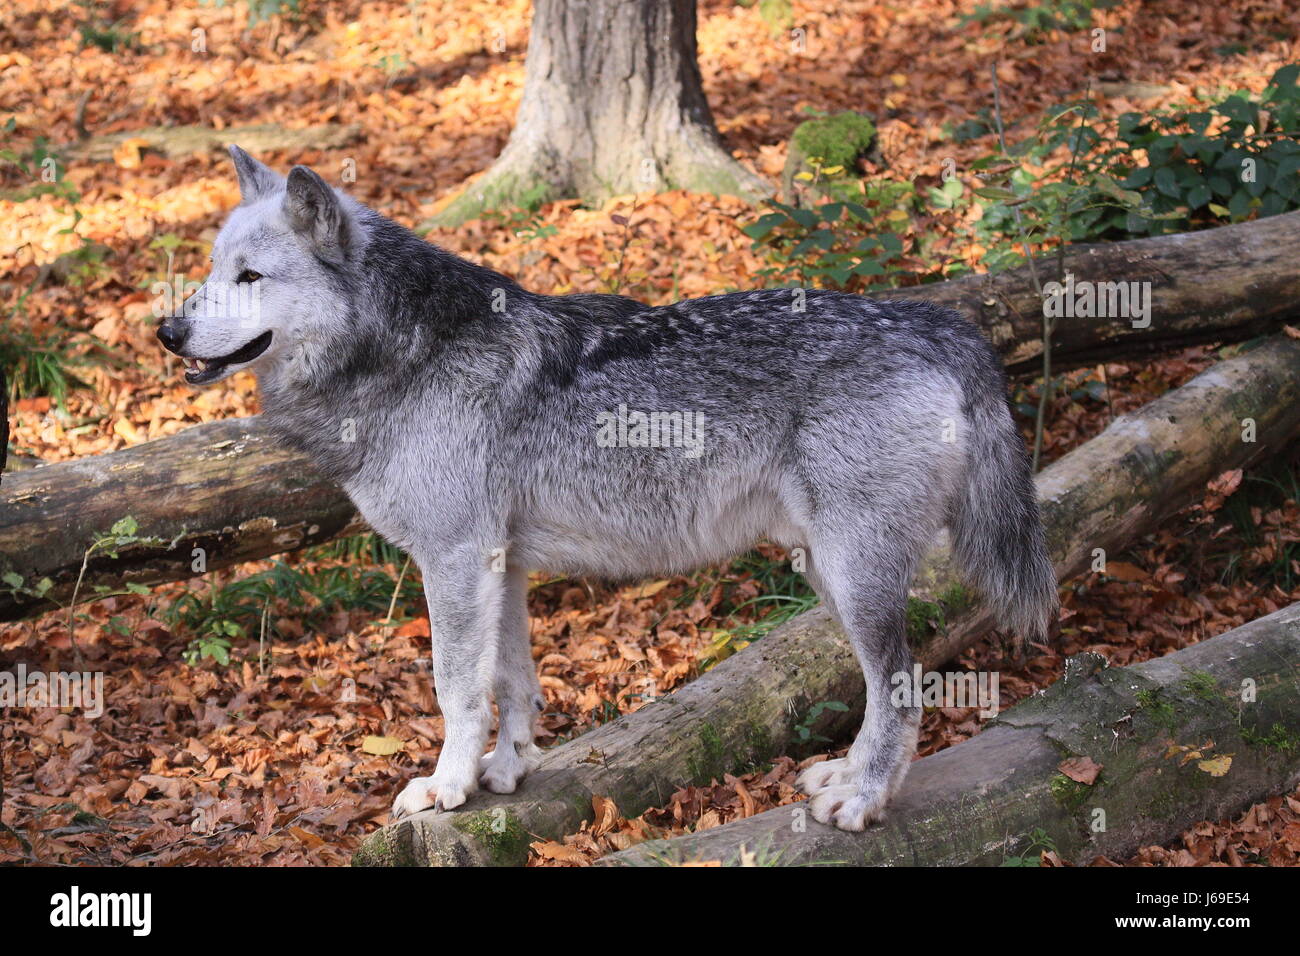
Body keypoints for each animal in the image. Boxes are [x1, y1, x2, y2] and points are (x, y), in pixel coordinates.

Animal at [155, 147, 1056, 831]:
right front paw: (506, 772)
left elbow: (456, 689)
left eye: (250, 276)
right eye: (212, 269)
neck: (404, 355)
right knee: (885, 691)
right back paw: (842, 778)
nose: (166, 330)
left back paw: (862, 804)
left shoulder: (453, 559)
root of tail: (940, 321)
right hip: (826, 574)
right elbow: (513, 685)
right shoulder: (502, 564)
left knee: (903, 691)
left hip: (852, 577)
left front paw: (445, 789)